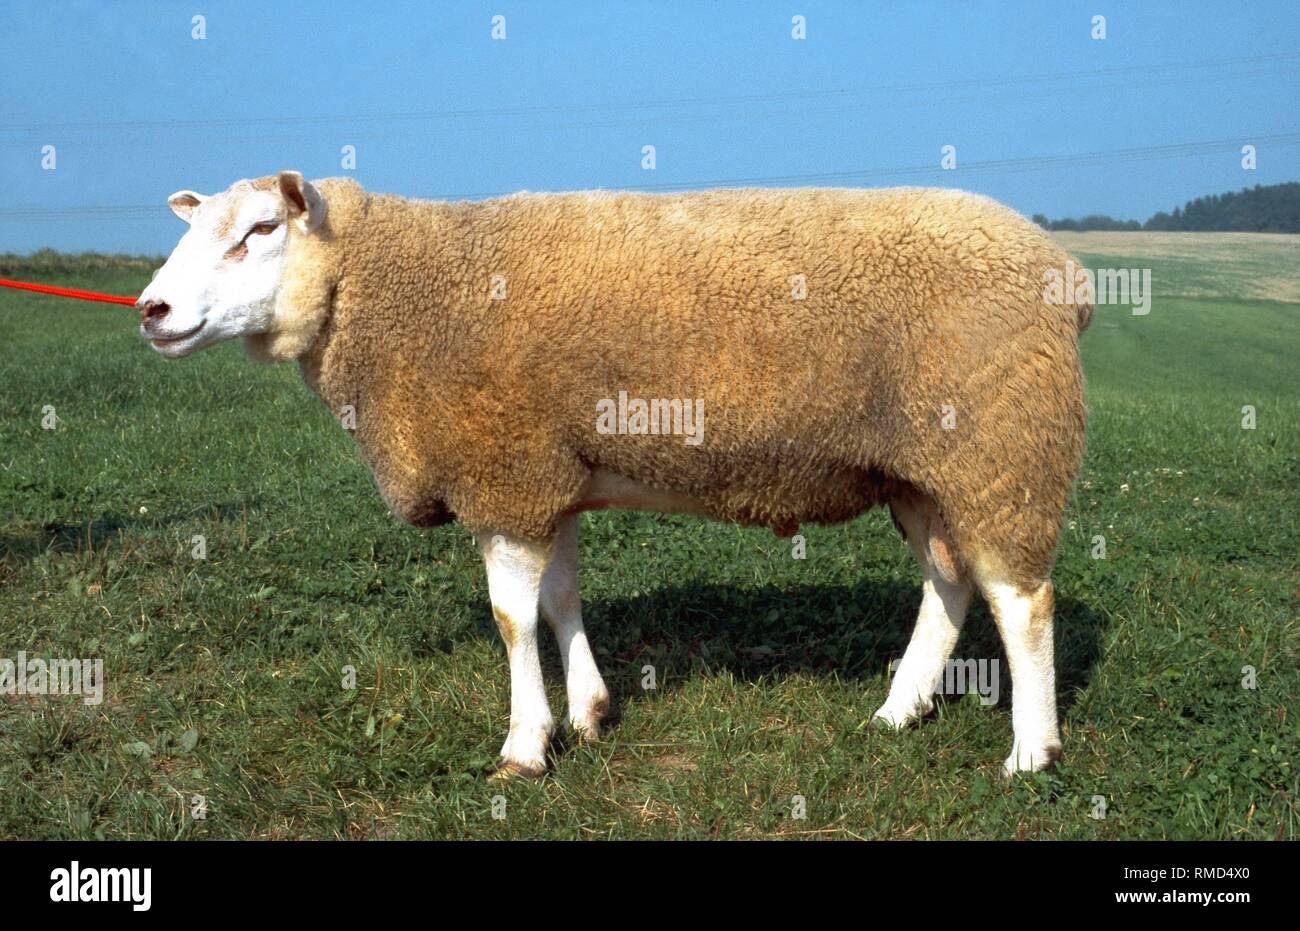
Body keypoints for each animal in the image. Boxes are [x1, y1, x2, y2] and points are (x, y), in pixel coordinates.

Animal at [137, 171, 1092, 778]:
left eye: (261, 231)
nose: (151, 309)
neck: (393, 289)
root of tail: (1068, 273)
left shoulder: (506, 473)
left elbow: (511, 618)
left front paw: (525, 747)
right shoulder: (549, 474)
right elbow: (560, 599)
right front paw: (590, 714)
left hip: (1000, 450)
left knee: (1022, 600)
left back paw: (1031, 753)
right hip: (923, 472)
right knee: (951, 584)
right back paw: (900, 709)